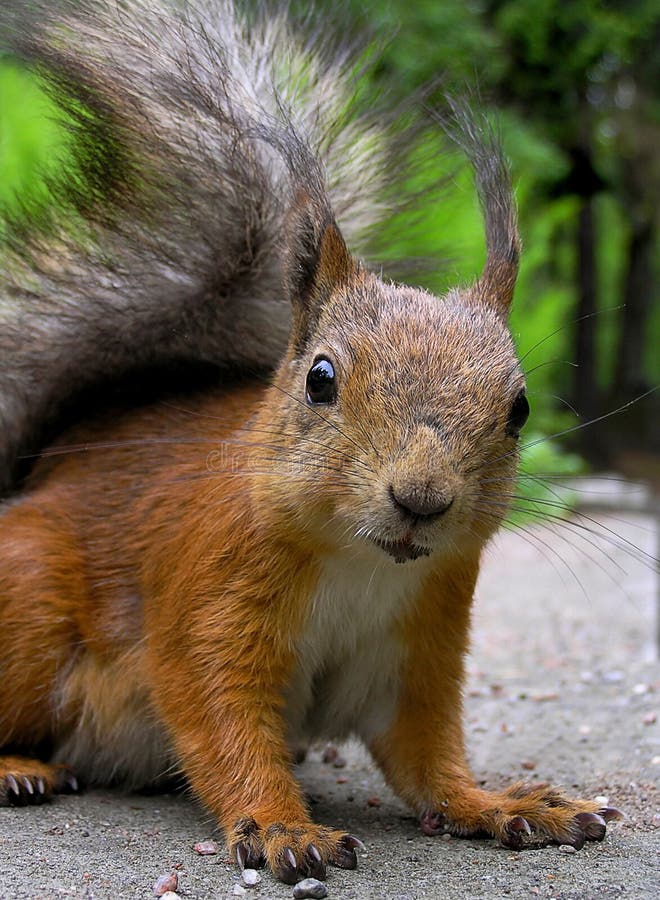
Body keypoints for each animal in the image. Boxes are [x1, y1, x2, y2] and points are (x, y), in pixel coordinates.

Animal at [0, 0, 621, 887]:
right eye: (320, 379)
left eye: (521, 408)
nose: (421, 499)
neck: (360, 565)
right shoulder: (205, 603)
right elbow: (222, 723)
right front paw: (280, 826)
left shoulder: (417, 648)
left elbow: (426, 756)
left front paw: (504, 803)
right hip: (28, 607)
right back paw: (19, 767)